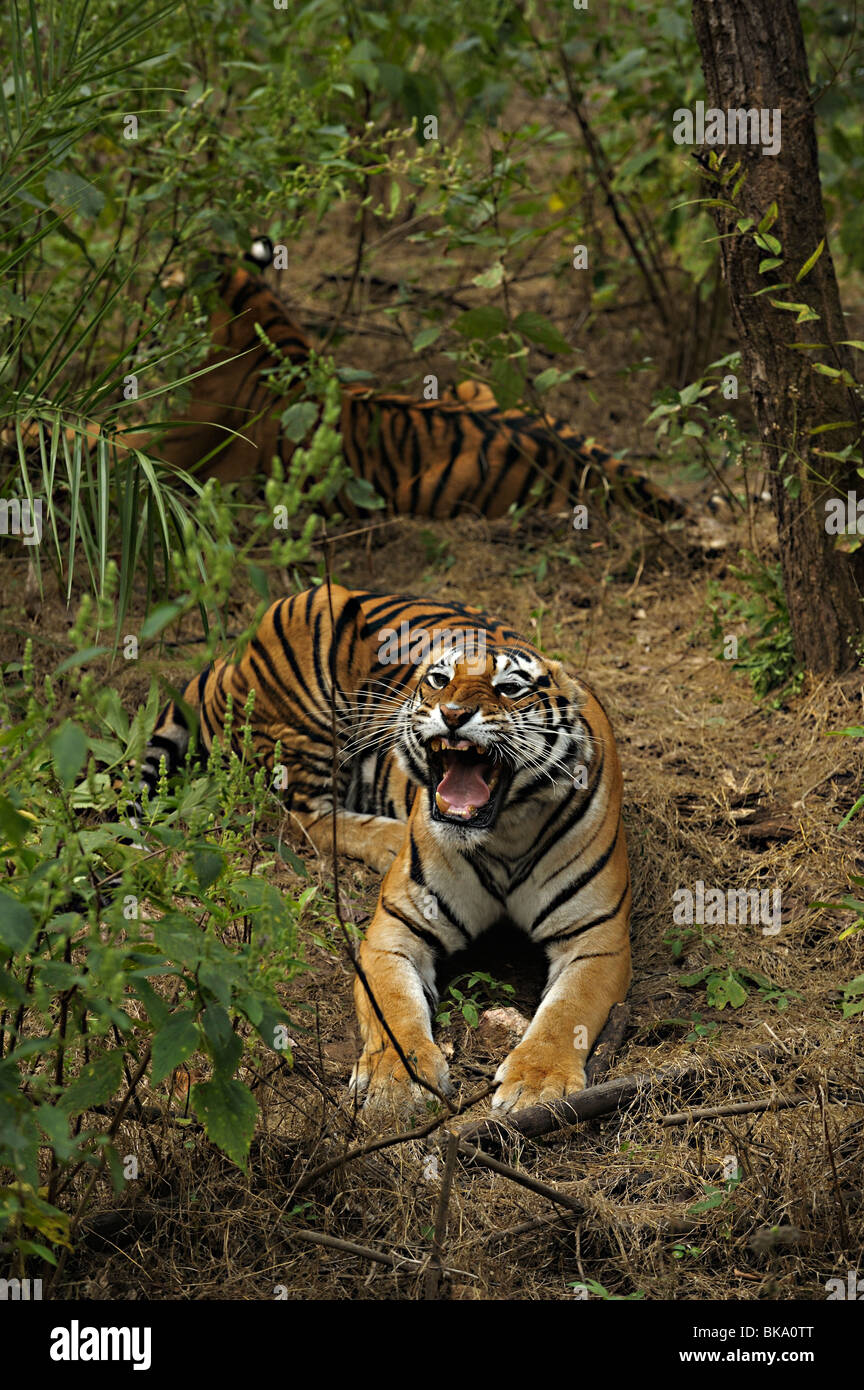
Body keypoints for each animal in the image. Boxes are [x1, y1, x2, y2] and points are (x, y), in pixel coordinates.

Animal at [138, 583, 632, 1114]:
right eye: (439, 680)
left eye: (510, 688)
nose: (453, 715)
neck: (504, 834)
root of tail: (232, 653)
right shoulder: (396, 929)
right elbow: (394, 1009)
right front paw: (395, 1080)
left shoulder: (596, 939)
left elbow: (566, 1013)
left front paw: (537, 1084)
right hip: (308, 718)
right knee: (306, 820)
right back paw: (390, 837)